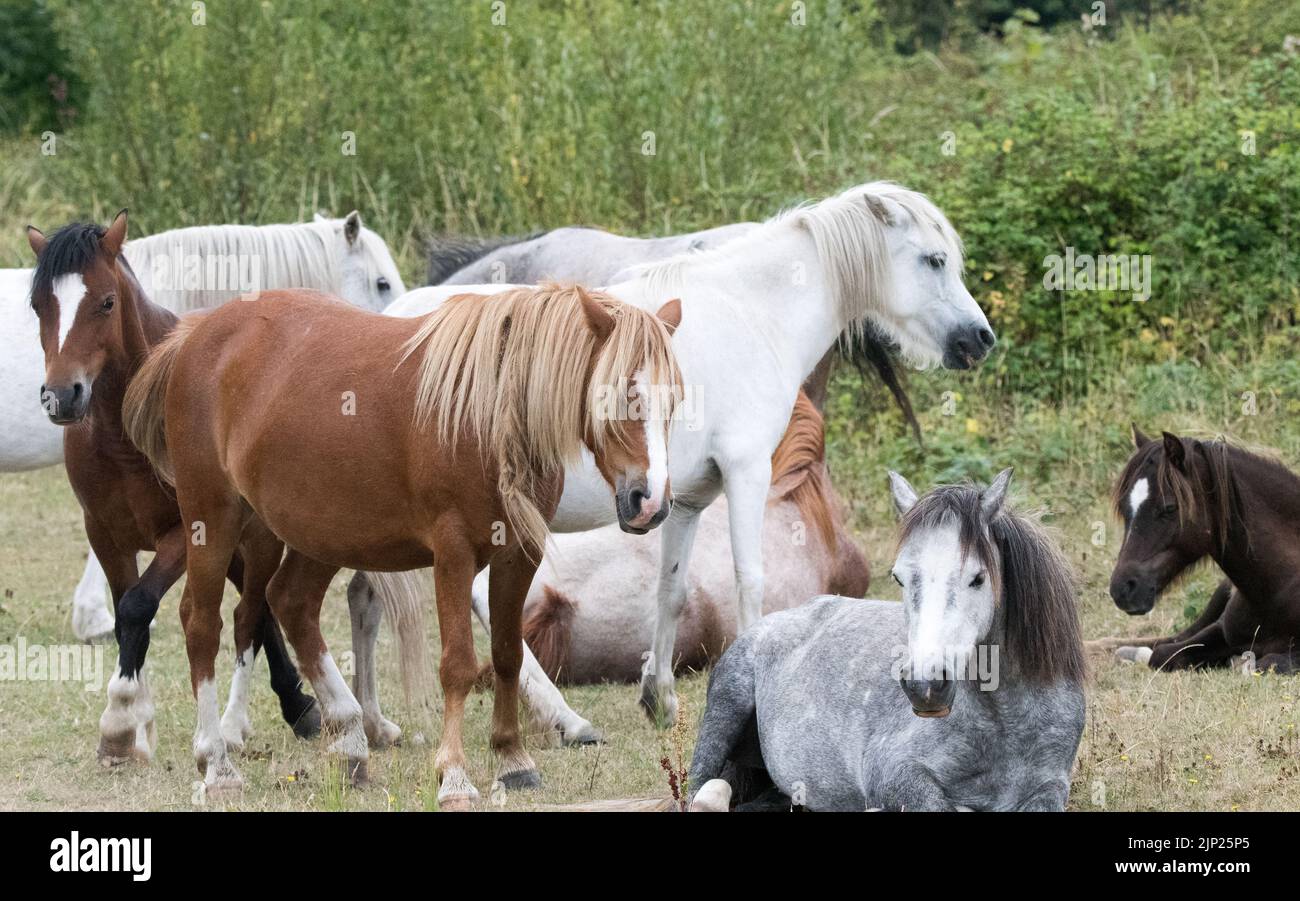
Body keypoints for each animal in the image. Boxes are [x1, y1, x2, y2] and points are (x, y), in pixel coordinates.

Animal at [24, 212, 326, 766]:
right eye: (39, 305)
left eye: (106, 302)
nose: (61, 396)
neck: (125, 431)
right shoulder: (105, 535)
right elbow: (126, 613)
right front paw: (135, 729)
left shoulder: (185, 535)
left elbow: (137, 606)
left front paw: (120, 719)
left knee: (254, 609)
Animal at [122, 283, 683, 802]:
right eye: (620, 395)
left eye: (674, 400)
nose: (650, 502)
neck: (490, 412)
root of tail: (198, 334)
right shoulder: (453, 554)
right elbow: (457, 664)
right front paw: (454, 775)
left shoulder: (518, 554)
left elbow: (507, 654)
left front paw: (511, 758)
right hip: (213, 518)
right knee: (202, 624)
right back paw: (216, 762)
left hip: (318, 531)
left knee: (291, 602)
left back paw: (350, 736)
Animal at [688, 470, 1086, 812]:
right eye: (899, 578)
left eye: (978, 578)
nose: (926, 686)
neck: (1003, 723)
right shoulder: (895, 772)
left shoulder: (1050, 786)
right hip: (724, 712)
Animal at [1109, 427, 1300, 673]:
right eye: (1124, 507)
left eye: (1169, 508)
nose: (1122, 589)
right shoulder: (1220, 631)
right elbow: (1163, 654)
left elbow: (1265, 663)